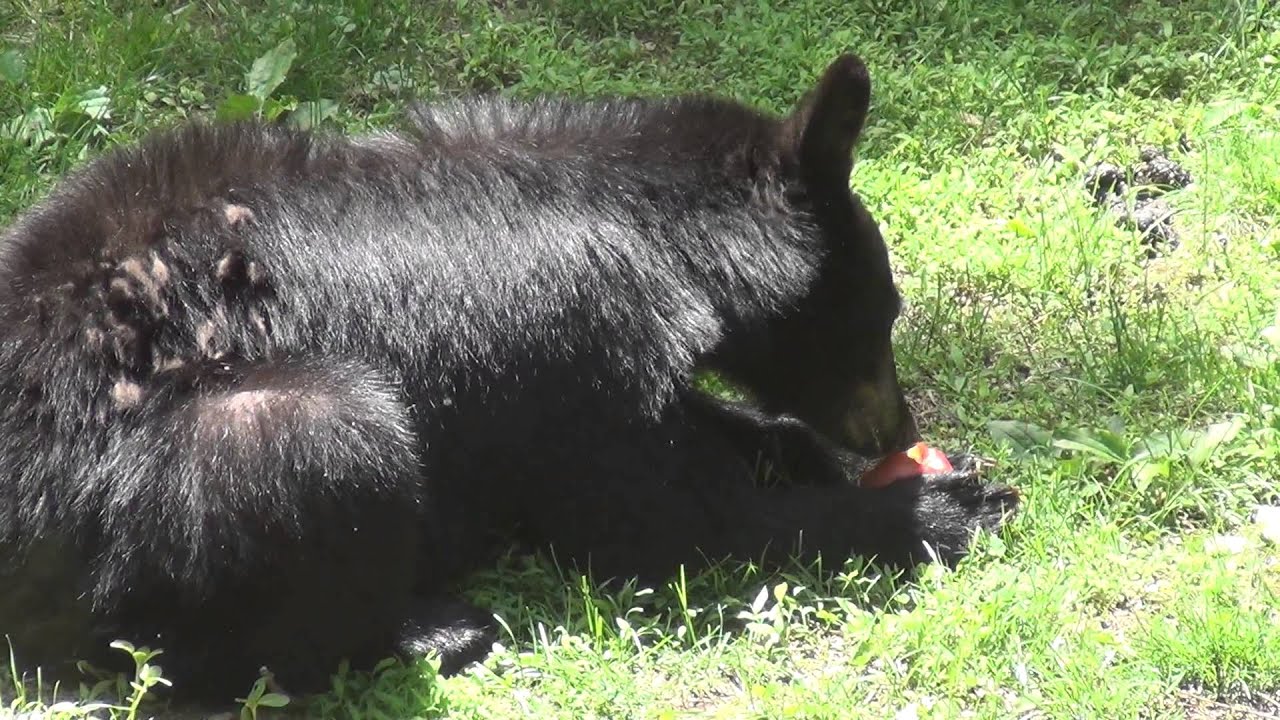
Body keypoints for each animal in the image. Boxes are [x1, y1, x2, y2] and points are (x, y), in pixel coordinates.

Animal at [0, 54, 1018, 702]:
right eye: (882, 314)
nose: (896, 429)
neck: (662, 234)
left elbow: (681, 435)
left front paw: (801, 449)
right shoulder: (568, 316)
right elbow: (662, 521)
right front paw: (942, 508)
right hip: (168, 468)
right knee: (310, 460)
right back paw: (433, 629)